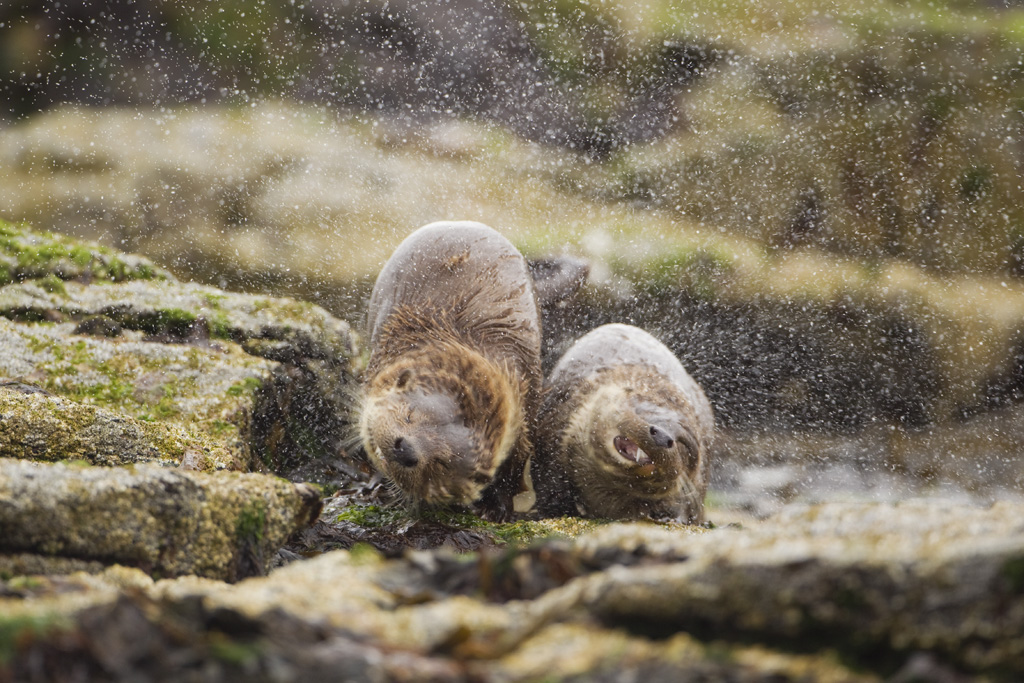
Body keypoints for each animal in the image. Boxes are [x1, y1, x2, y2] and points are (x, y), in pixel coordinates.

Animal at [359, 221, 542, 521]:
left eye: (441, 462)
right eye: (410, 415)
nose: (405, 450)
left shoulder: (523, 414)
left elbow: (514, 467)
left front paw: (497, 509)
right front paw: (376, 486)